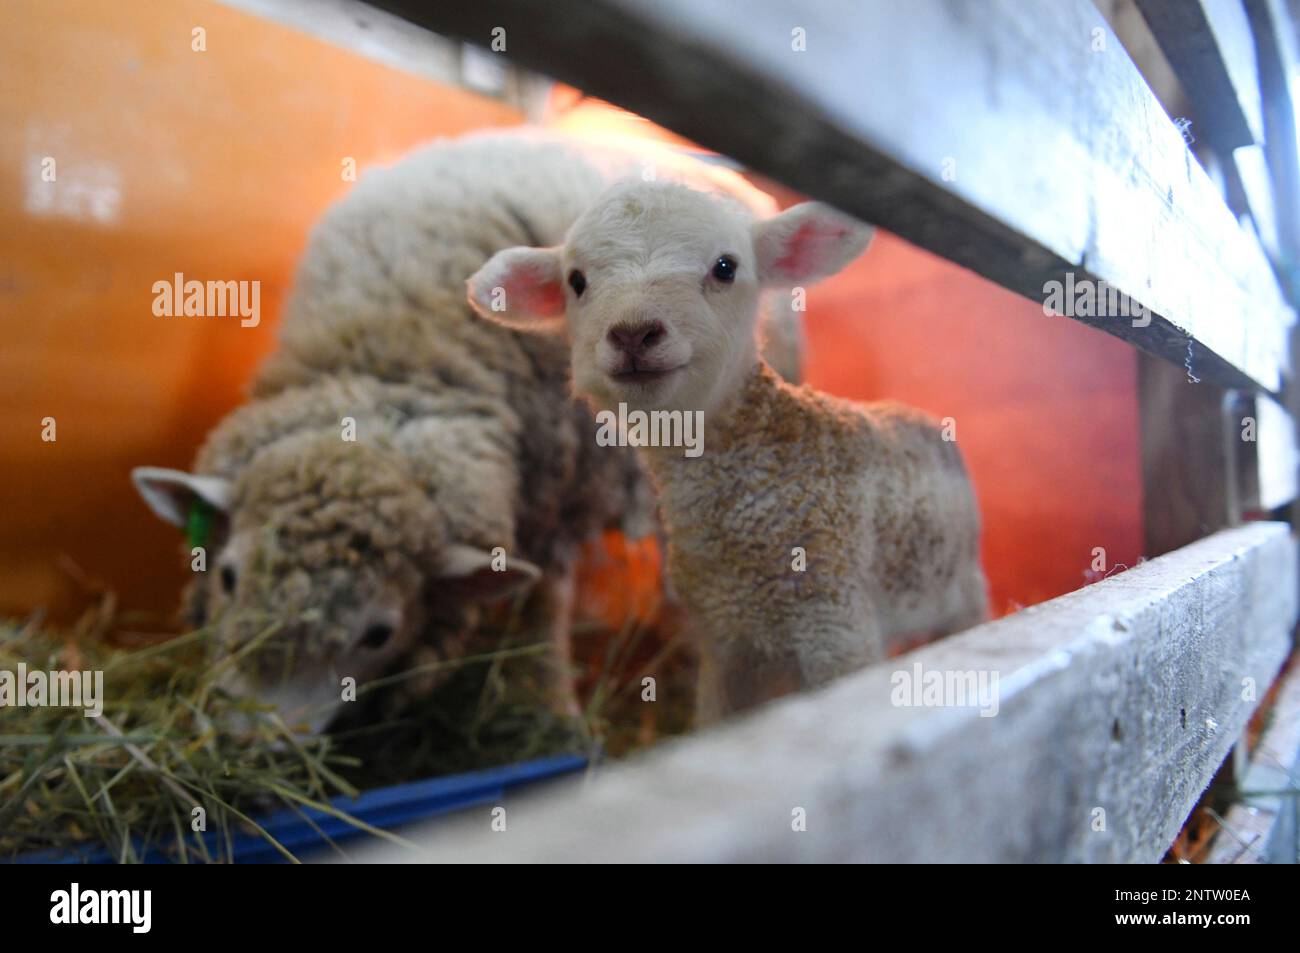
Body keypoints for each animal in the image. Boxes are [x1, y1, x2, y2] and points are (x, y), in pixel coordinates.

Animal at [132, 130, 804, 733]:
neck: (399, 346)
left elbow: (544, 604)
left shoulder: (560, 496)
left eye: (379, 635)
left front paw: (547, 708)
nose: (253, 736)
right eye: (227, 577)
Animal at [468, 180, 988, 720]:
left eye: (725, 267)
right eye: (576, 281)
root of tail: (917, 413)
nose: (633, 333)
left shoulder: (835, 623)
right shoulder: (723, 644)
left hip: (964, 587)